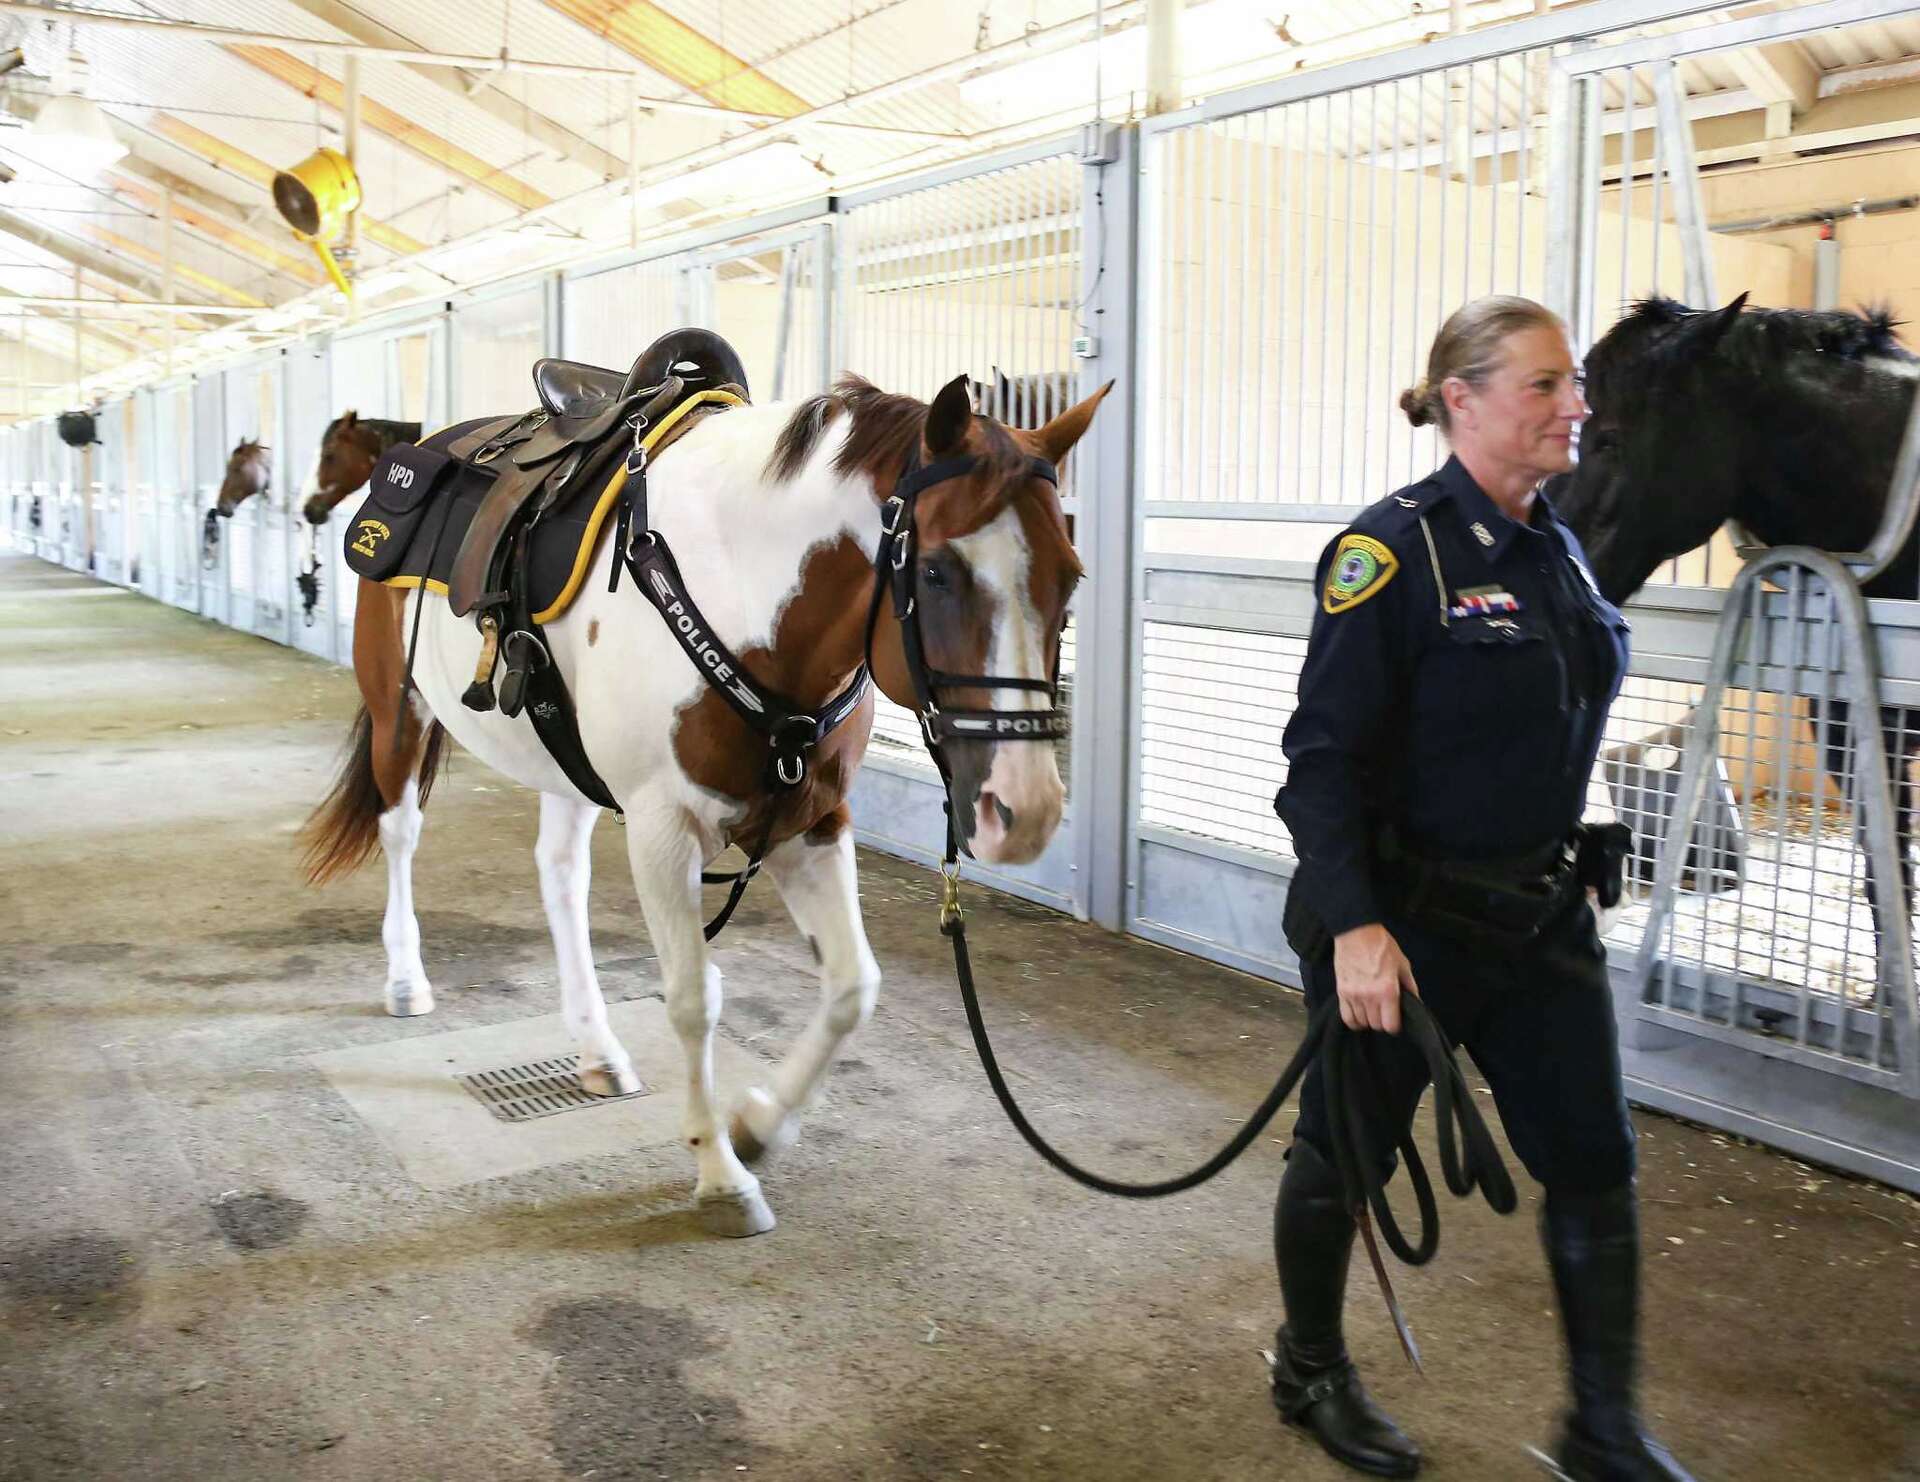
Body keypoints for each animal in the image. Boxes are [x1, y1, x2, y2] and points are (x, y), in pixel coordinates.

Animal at [300, 370, 1106, 1235]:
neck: (744, 593)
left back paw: (597, 1046)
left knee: (560, 876)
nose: (1025, 811)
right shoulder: (662, 830)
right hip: (399, 713)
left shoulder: (812, 822)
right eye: (935, 573)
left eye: (1071, 576)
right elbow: (692, 1000)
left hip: (564, 760)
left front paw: (759, 1127)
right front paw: (721, 1172)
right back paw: (406, 981)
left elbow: (853, 986)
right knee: (401, 833)